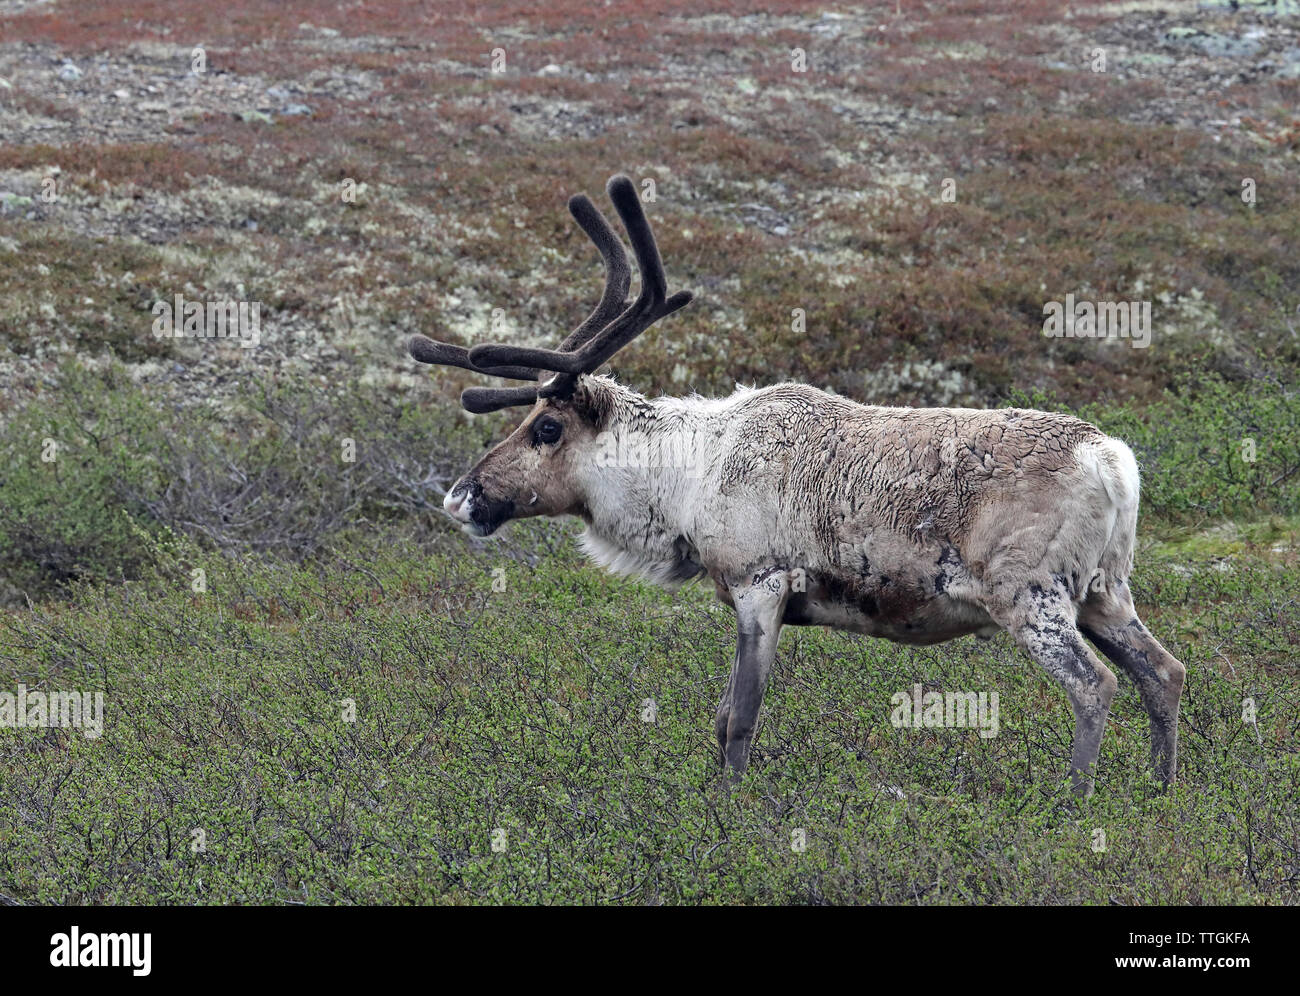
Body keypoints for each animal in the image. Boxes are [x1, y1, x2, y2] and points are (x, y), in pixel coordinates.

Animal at [408, 174, 1185, 798]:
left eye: (545, 428)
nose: (462, 495)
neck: (690, 476)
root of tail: (1112, 460)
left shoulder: (762, 583)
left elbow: (737, 721)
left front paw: (730, 808)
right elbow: (726, 716)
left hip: (1029, 594)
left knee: (1096, 685)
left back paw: (1074, 803)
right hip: (1104, 589)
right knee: (1164, 672)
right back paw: (1159, 793)